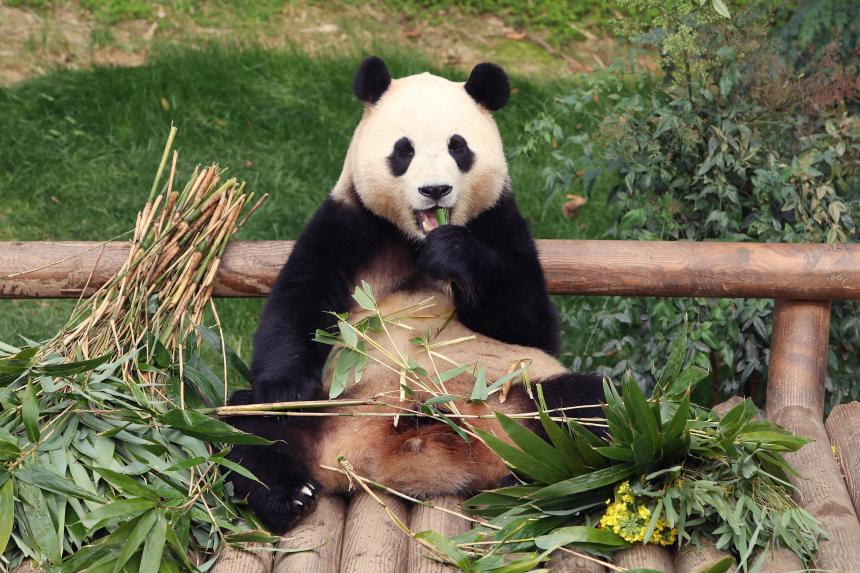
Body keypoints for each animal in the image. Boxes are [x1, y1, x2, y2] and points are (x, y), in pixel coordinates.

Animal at [226, 56, 605, 534]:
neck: (415, 239)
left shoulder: (501, 221)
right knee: (248, 422)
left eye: (458, 147)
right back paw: (287, 496)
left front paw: (452, 252)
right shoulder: (349, 221)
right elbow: (299, 300)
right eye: (403, 150)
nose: (435, 190)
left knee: (590, 402)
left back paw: (559, 483)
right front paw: (288, 387)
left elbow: (532, 325)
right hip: (333, 407)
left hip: (514, 399)